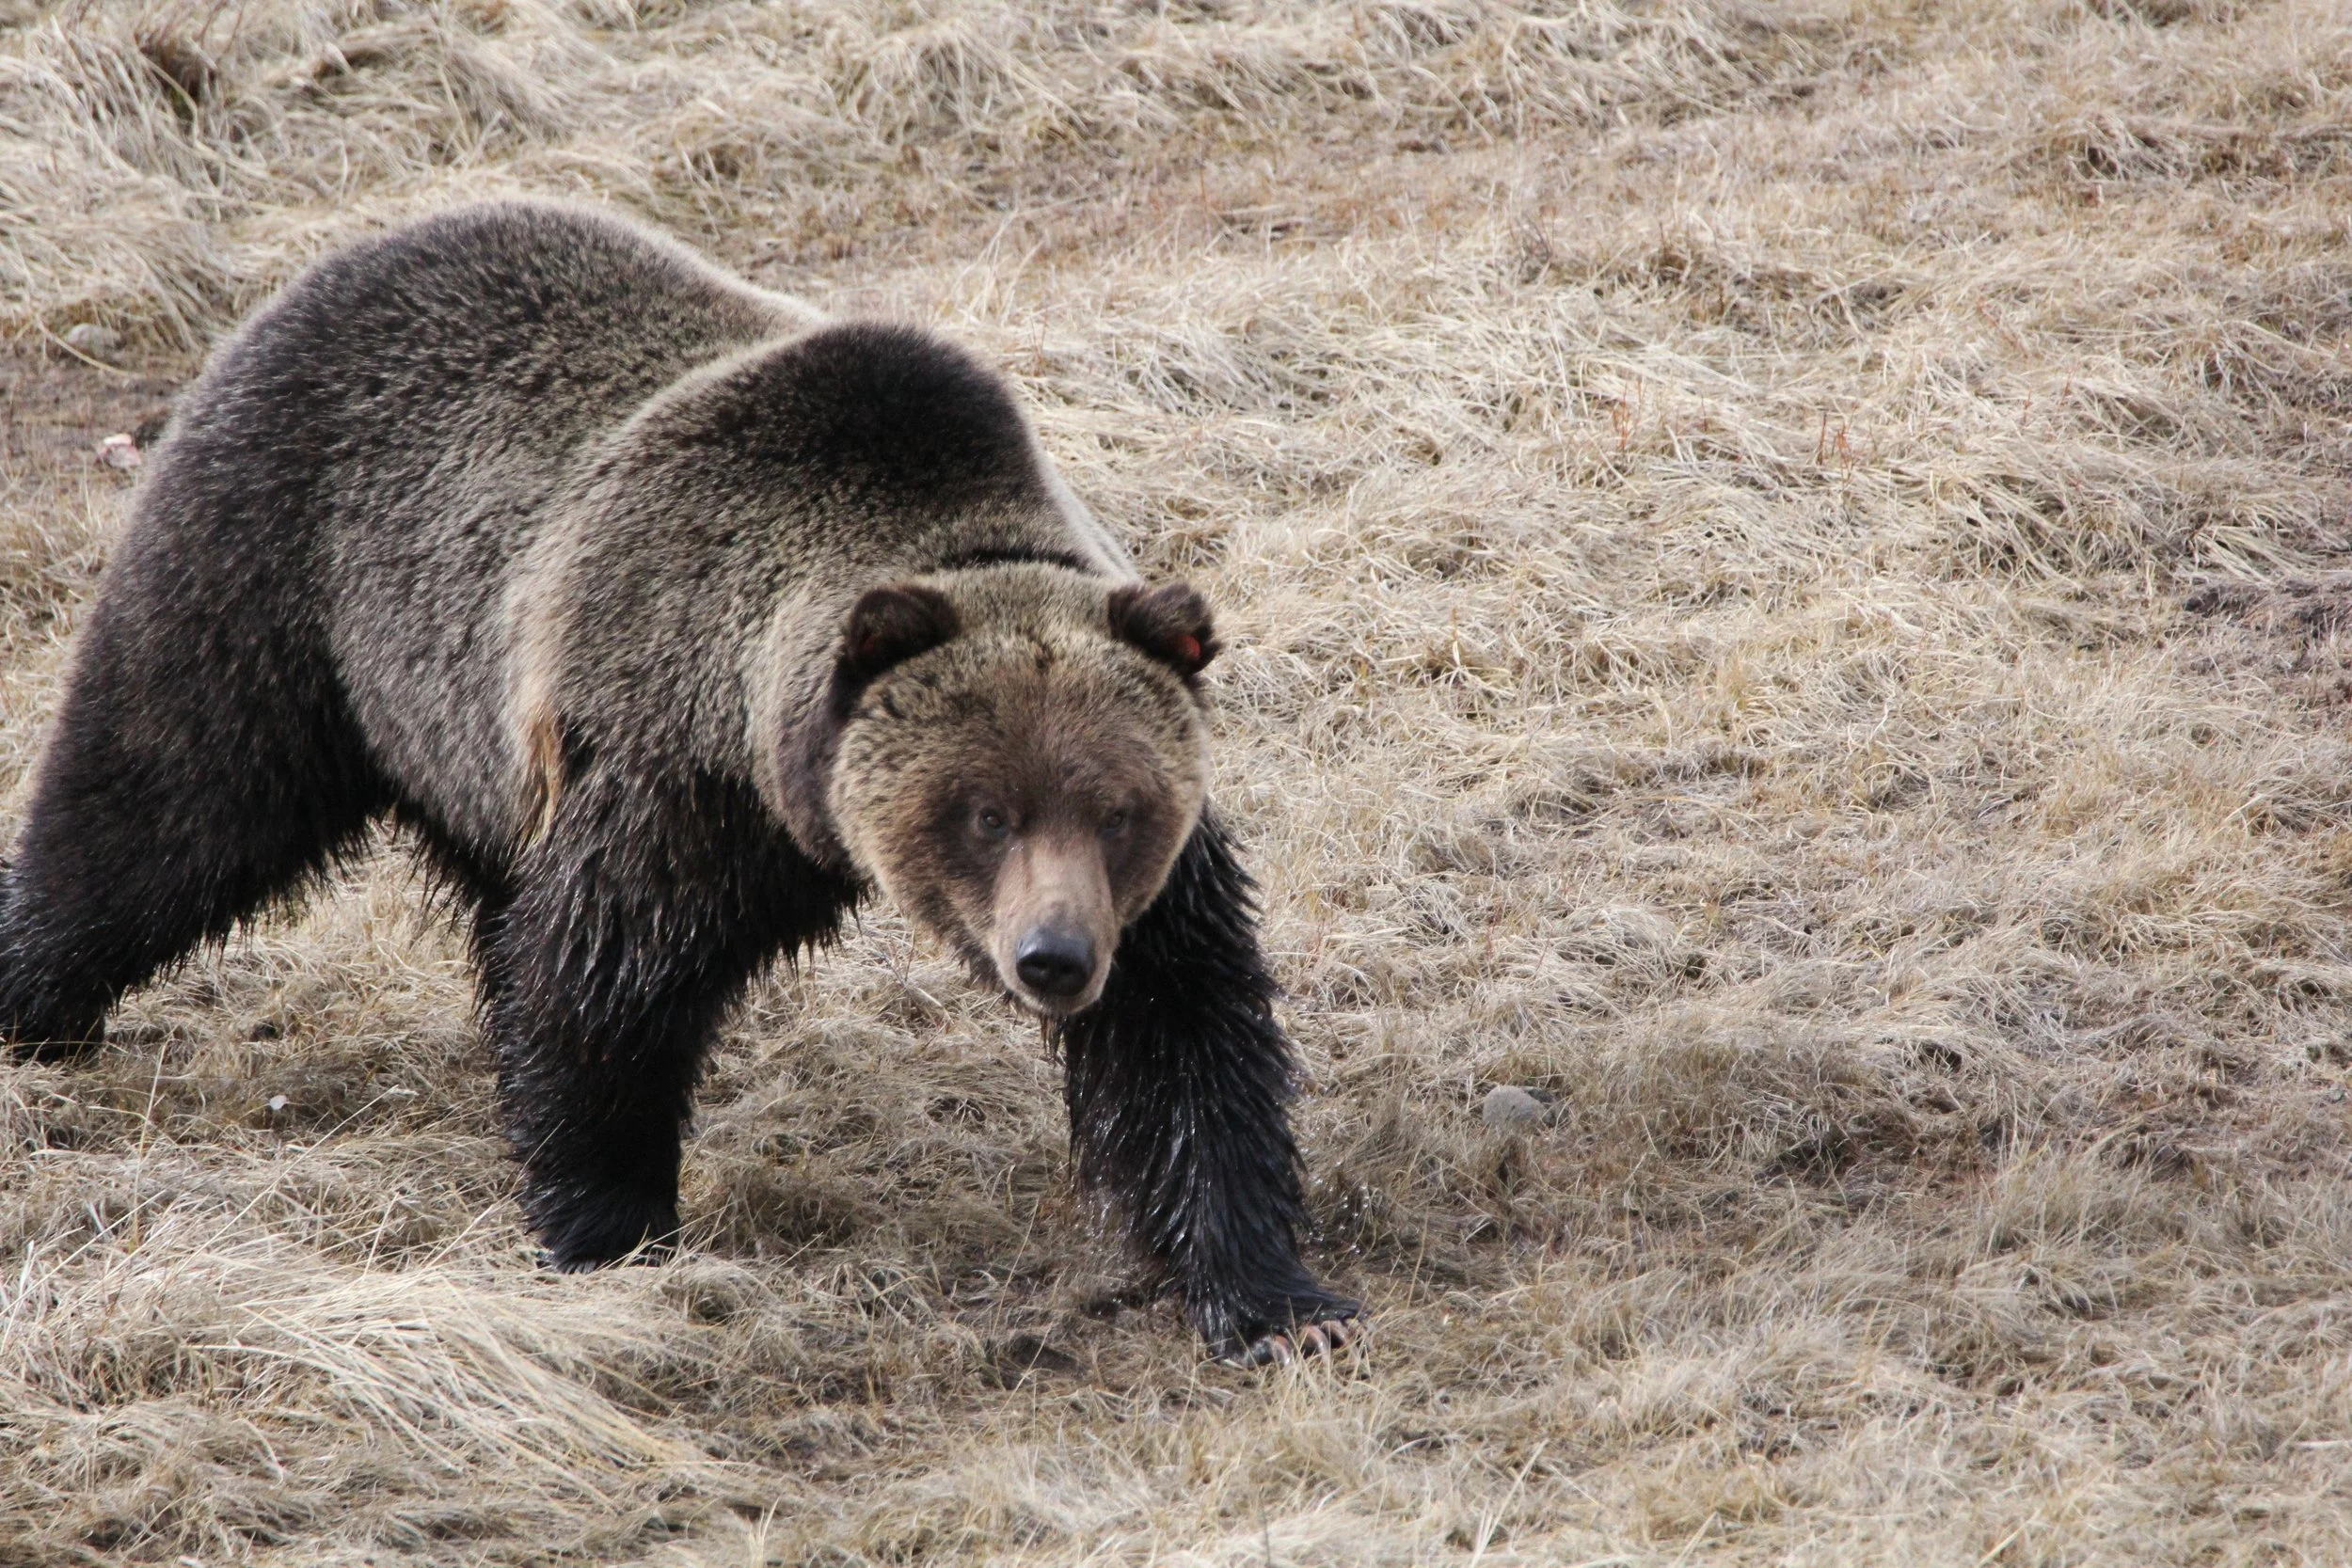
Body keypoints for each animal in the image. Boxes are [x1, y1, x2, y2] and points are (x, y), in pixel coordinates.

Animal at [0, 200, 1361, 1365]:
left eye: (1117, 809)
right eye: (982, 811)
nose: (1055, 957)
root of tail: (329, 267)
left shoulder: (1151, 878)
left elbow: (1186, 1030)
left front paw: (1273, 1296)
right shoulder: (673, 773)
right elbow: (602, 986)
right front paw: (608, 1227)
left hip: (470, 738)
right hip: (283, 581)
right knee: (159, 799)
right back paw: (37, 995)